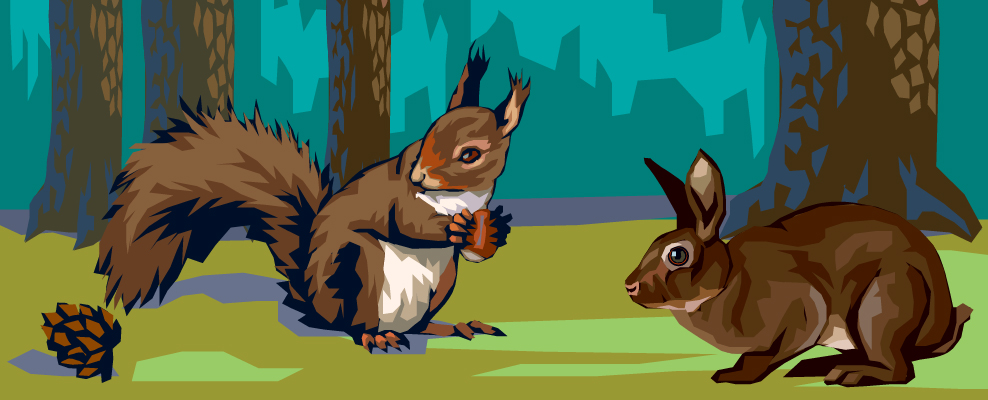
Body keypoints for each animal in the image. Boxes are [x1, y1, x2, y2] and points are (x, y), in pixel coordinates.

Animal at [95, 46, 530, 352]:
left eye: (470, 154)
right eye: (427, 134)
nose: (419, 175)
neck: (458, 198)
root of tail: (320, 307)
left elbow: (474, 250)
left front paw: (492, 235)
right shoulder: (399, 196)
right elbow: (407, 221)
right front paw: (451, 228)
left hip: (443, 282)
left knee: (422, 324)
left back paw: (454, 326)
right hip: (358, 268)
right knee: (355, 326)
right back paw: (375, 337)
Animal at [624, 150, 973, 387]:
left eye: (678, 255)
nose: (629, 286)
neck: (728, 280)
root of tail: (942, 321)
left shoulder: (803, 313)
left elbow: (767, 354)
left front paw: (735, 376)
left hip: (882, 303)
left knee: (898, 369)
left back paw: (849, 375)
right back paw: (817, 366)